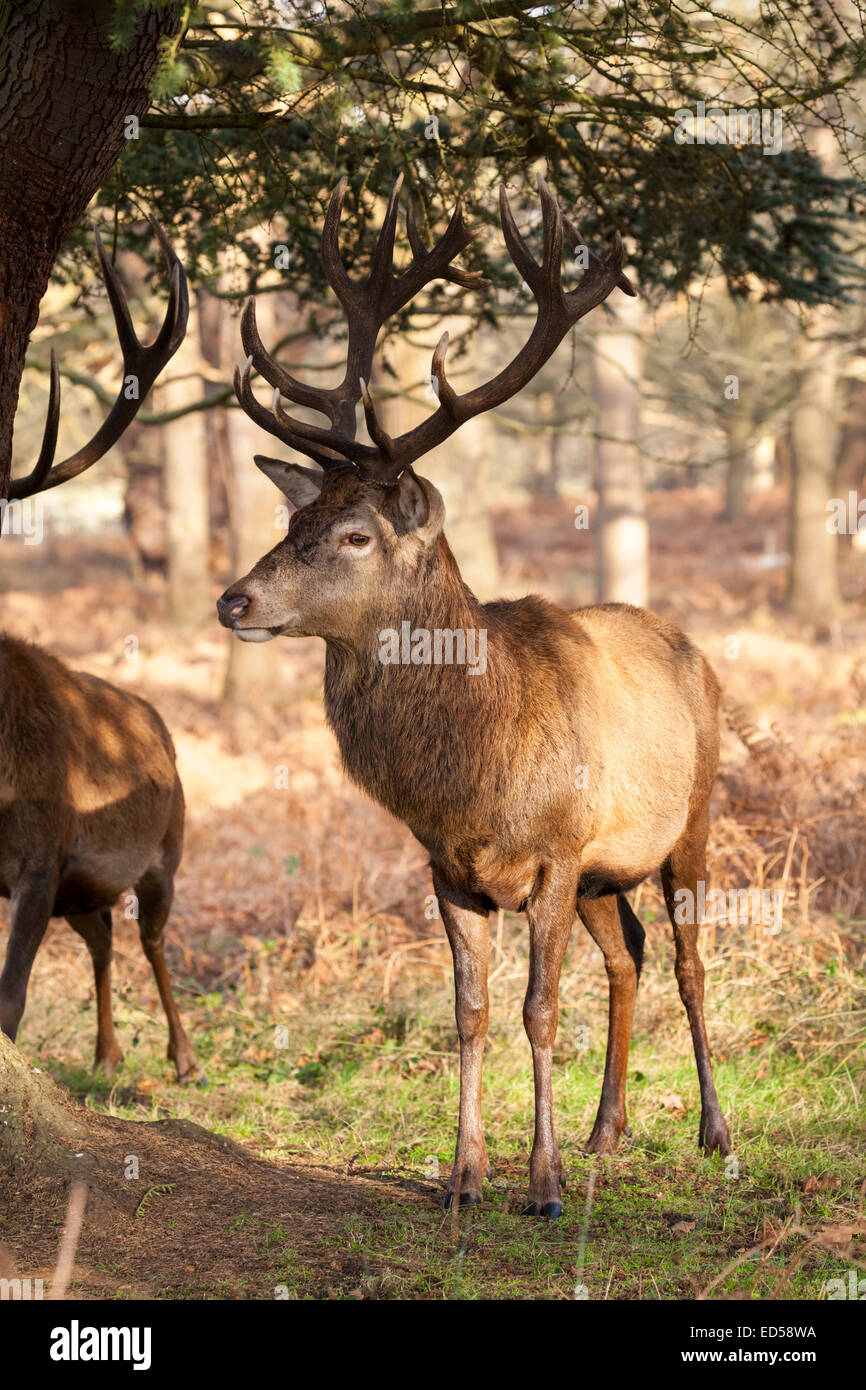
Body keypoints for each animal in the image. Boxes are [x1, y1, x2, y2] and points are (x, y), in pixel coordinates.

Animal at [217, 174, 731, 1218]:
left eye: (358, 535)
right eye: (294, 518)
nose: (233, 598)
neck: (475, 774)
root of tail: (690, 645)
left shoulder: (558, 849)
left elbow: (539, 1008)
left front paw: (542, 1184)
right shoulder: (448, 867)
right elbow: (469, 1009)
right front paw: (463, 1176)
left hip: (690, 815)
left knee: (691, 962)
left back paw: (712, 1131)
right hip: (609, 870)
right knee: (628, 956)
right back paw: (607, 1130)